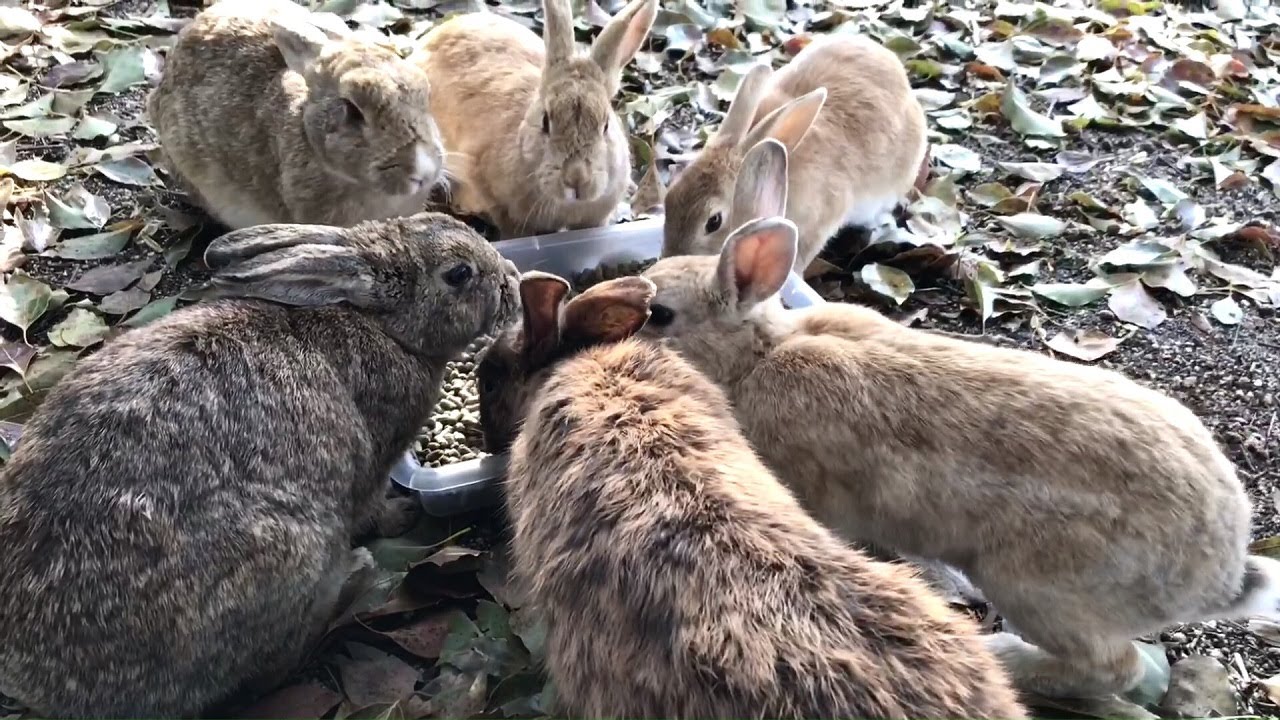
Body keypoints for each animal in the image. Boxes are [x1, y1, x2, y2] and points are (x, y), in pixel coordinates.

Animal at [0, 212, 519, 719]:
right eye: (459, 274)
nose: (511, 280)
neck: (380, 322)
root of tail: (50, 691)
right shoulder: (376, 456)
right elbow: (372, 505)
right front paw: (401, 515)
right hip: (292, 553)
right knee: (273, 669)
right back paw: (356, 574)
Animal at [639, 148, 1280, 702]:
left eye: (660, 314)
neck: (759, 354)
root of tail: (1221, 577)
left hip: (1033, 584)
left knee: (1112, 667)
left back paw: (1004, 655)